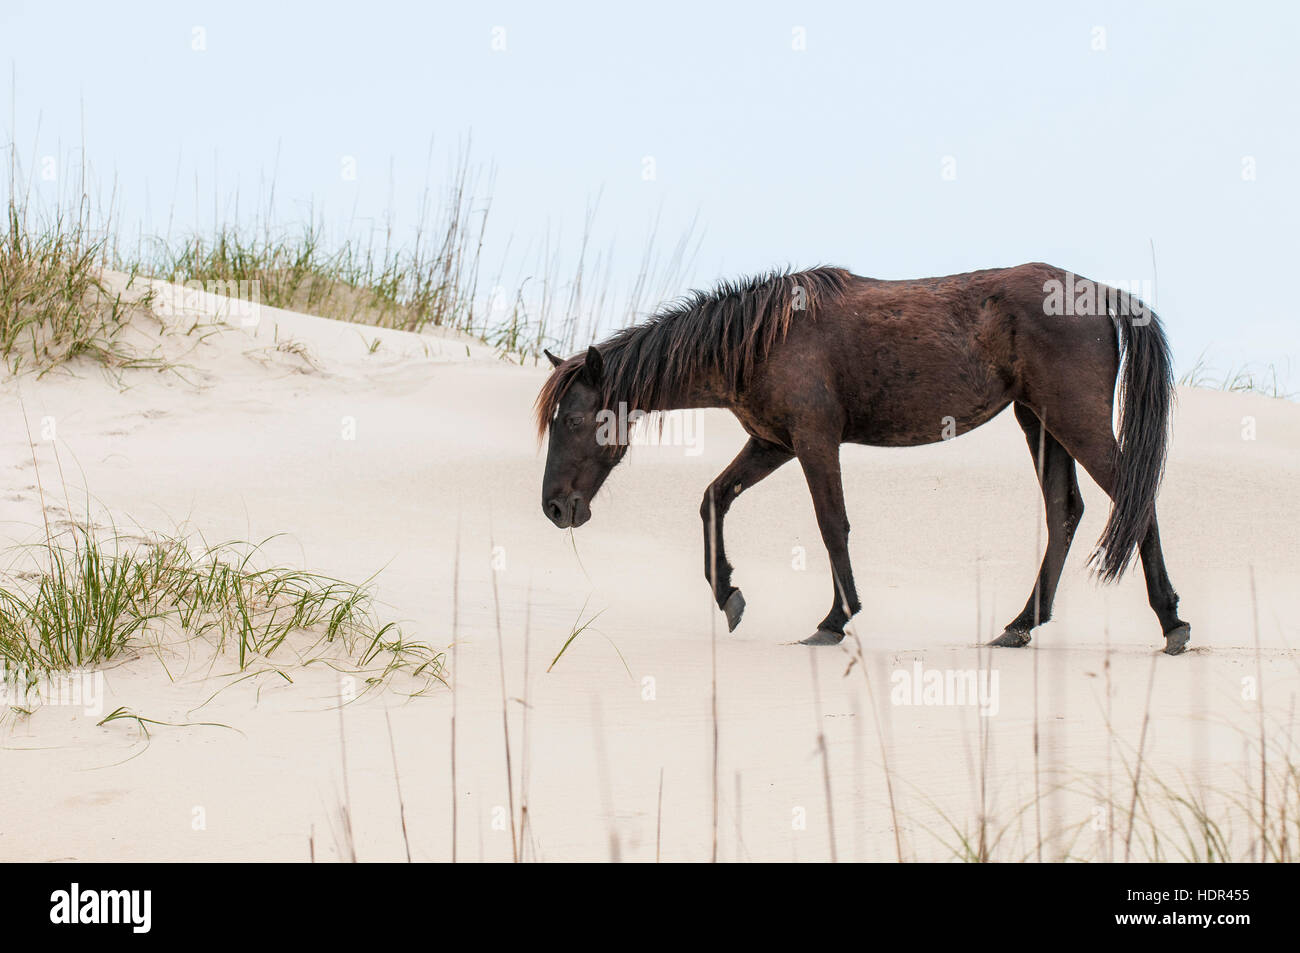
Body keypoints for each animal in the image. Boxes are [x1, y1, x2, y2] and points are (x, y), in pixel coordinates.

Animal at [535, 264, 1190, 655]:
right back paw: (1022, 623)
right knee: (1065, 511)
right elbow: (714, 499)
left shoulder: (813, 442)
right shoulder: (772, 444)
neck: (761, 339)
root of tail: (1104, 294)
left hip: (1074, 421)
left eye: (574, 421)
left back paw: (1172, 623)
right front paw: (729, 596)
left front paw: (834, 619)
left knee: (1134, 499)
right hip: (1039, 421)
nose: (555, 509)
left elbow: (832, 526)